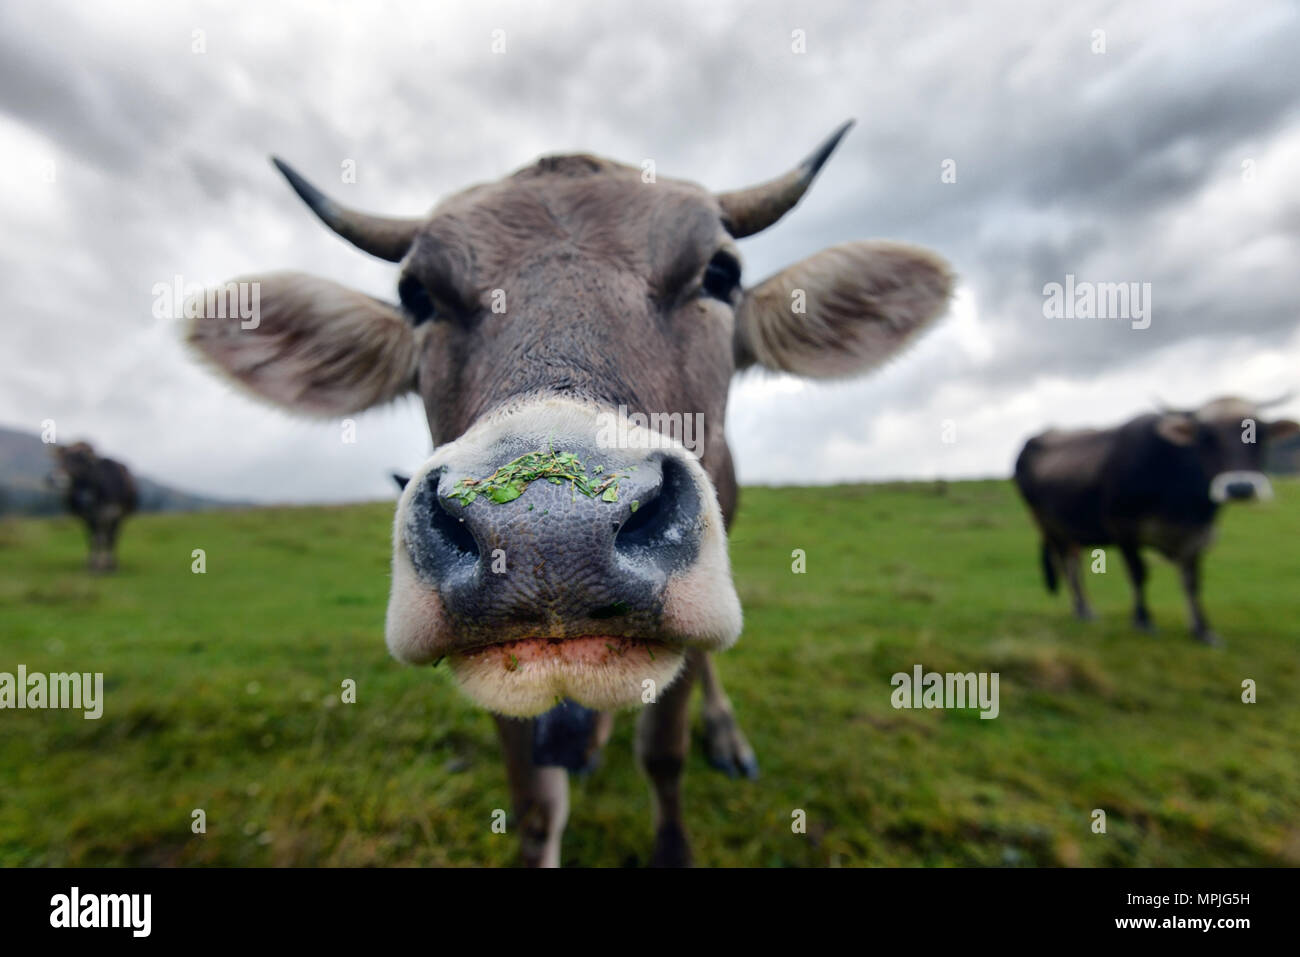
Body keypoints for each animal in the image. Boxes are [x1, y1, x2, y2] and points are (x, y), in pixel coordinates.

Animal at [48, 441, 139, 572]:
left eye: (80, 459)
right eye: (61, 458)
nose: (56, 478)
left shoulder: (114, 512)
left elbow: (110, 538)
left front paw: (110, 565)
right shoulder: (88, 517)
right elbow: (93, 539)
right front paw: (92, 565)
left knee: (110, 536)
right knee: (101, 536)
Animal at [1014, 396, 1299, 645]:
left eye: (1260, 433)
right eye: (1205, 436)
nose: (1240, 487)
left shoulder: (1197, 535)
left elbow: (1192, 582)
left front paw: (1202, 631)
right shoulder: (1123, 528)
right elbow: (1139, 574)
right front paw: (1143, 621)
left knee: (1073, 563)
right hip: (1047, 524)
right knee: (1068, 566)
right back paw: (1083, 610)